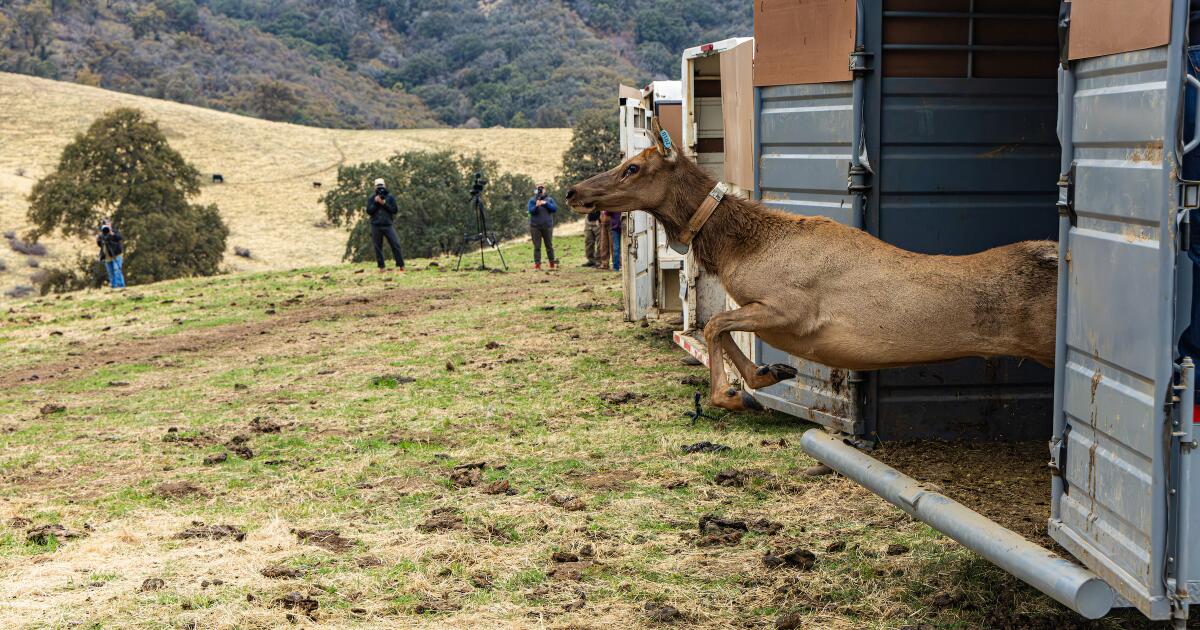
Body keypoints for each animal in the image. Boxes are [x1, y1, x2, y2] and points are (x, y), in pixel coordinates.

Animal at [565, 125, 1058, 413]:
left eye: (632, 167)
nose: (573, 191)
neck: (738, 250)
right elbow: (721, 326)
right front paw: (766, 374)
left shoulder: (792, 310)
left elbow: (715, 324)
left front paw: (730, 393)